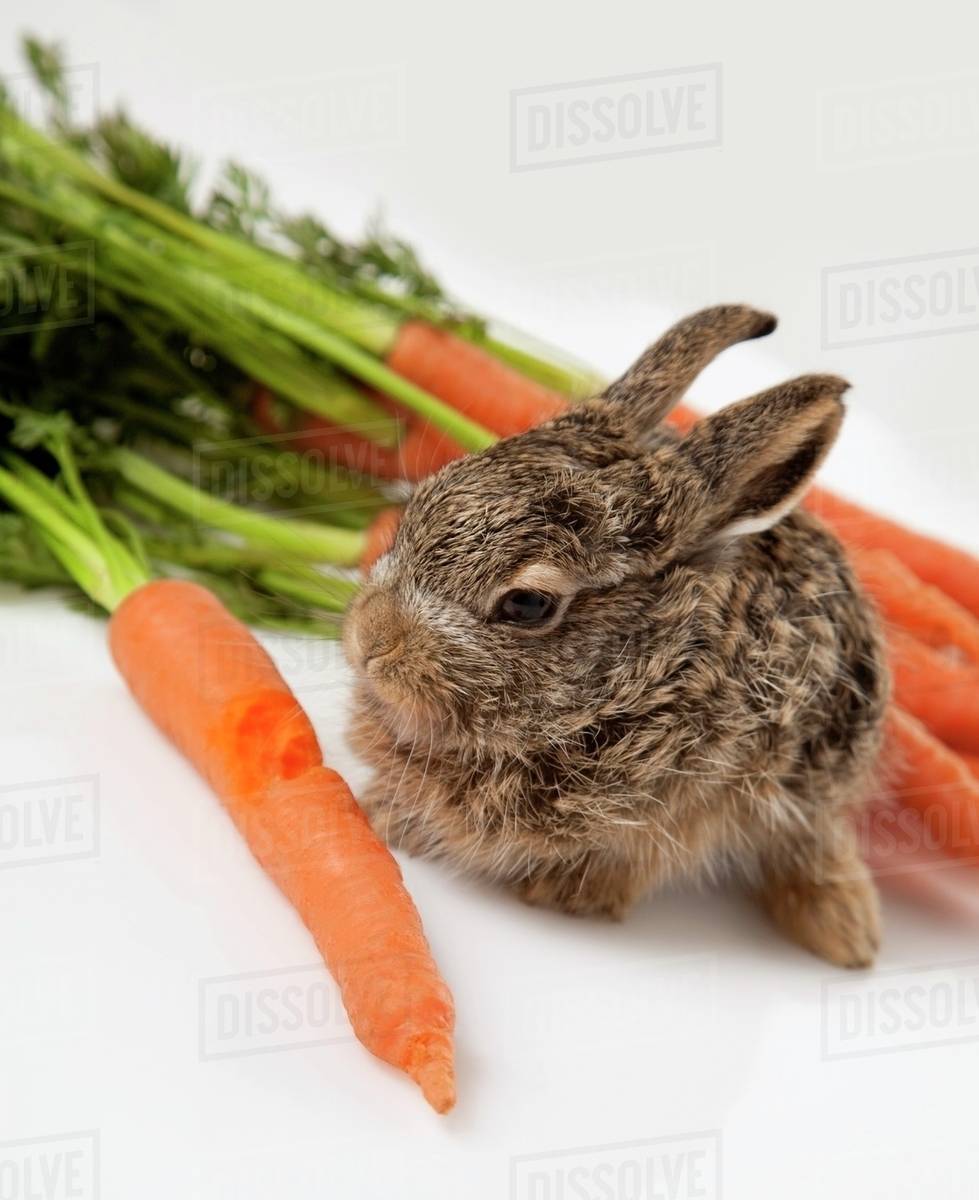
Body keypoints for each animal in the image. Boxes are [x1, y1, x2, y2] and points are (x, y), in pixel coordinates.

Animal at [344, 305, 890, 969]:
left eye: (527, 604)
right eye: (418, 503)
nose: (371, 639)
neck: (648, 670)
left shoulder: (691, 798)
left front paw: (567, 897)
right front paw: (385, 817)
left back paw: (850, 936)